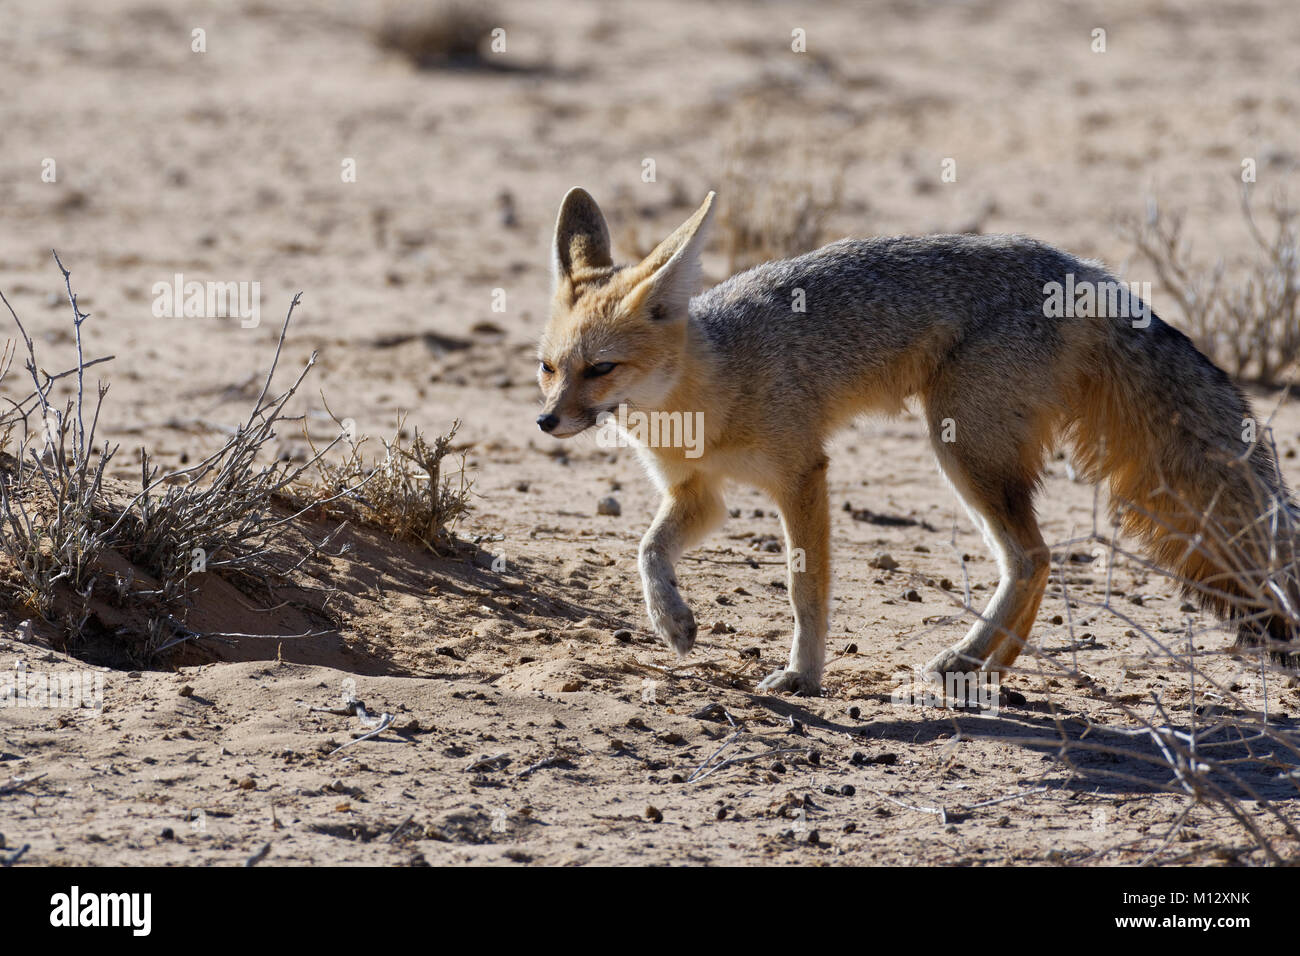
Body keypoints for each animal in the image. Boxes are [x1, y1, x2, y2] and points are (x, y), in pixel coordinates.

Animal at [535, 186, 1300, 696]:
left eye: (600, 370)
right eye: (548, 368)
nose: (546, 422)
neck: (705, 394)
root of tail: (1082, 268)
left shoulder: (801, 473)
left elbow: (805, 587)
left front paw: (803, 674)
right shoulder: (701, 495)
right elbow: (647, 550)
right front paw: (672, 621)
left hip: (960, 447)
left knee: (1032, 555)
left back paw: (969, 658)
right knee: (1034, 558)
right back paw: (990, 664)